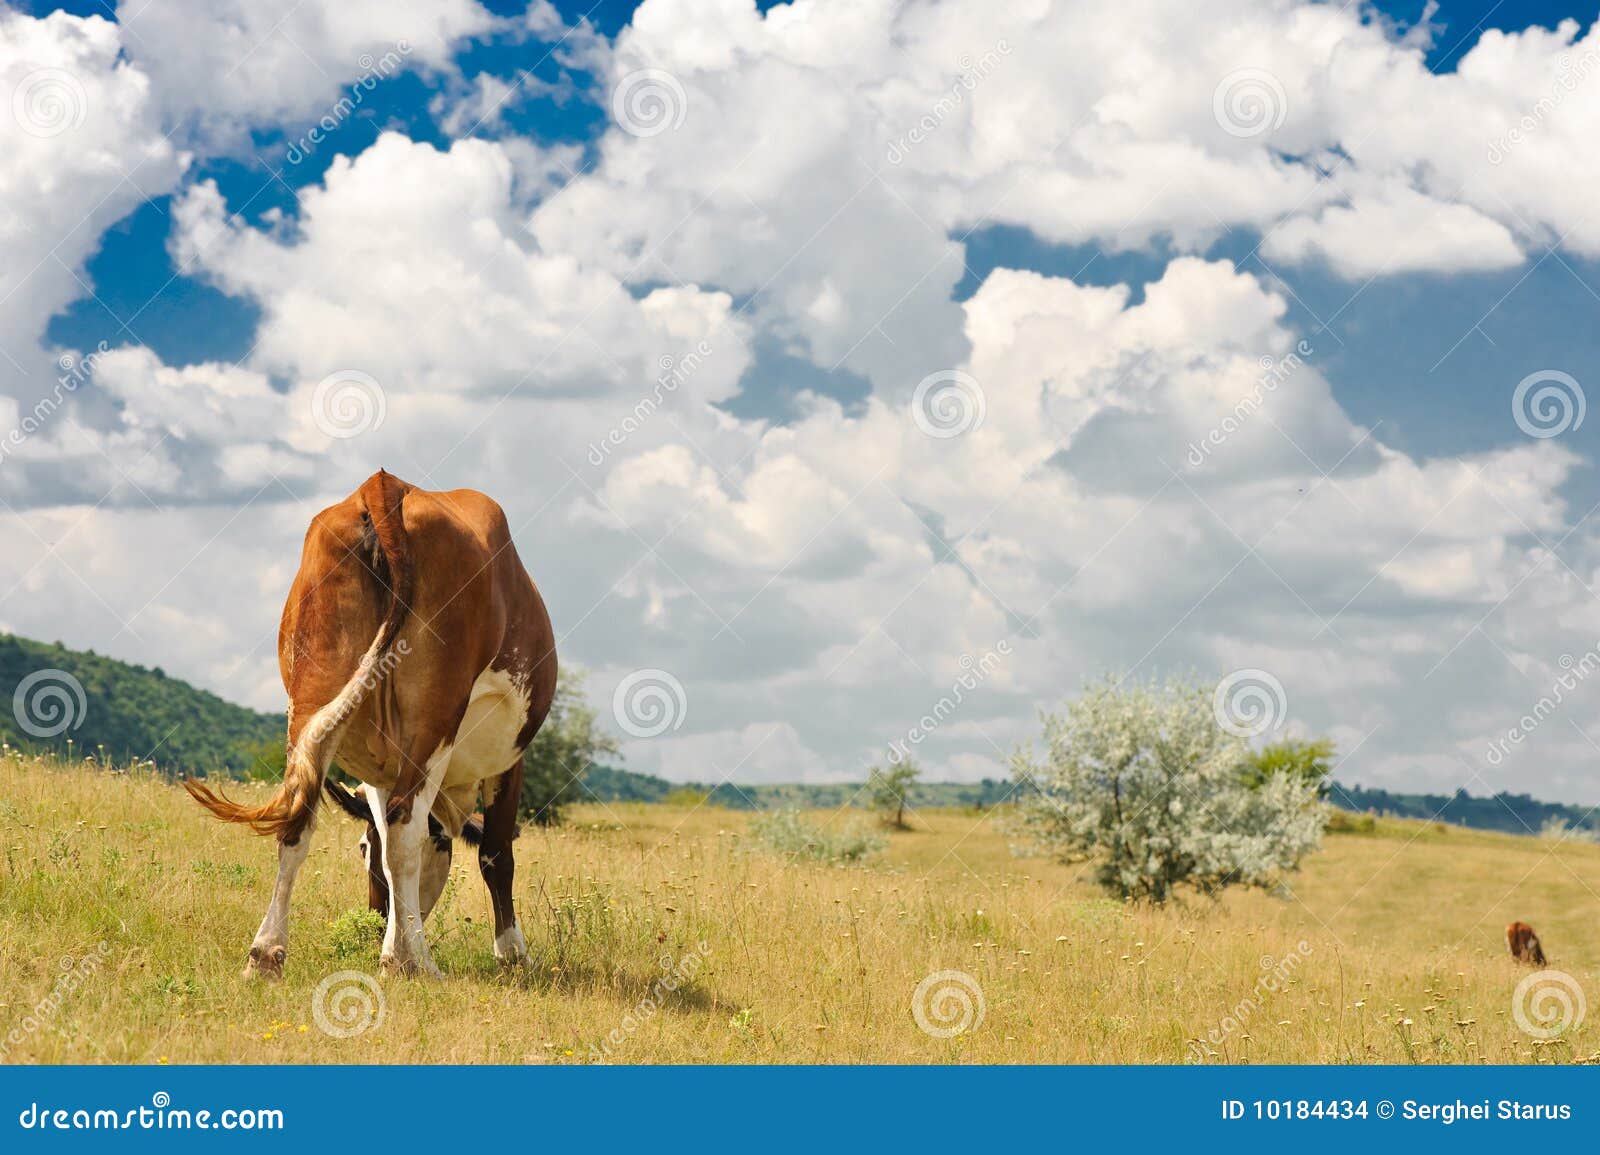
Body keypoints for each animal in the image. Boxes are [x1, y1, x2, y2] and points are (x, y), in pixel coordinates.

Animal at [185, 469, 557, 978]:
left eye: (361, 850)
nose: (373, 917)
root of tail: (384, 485)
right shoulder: (507, 757)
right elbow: (496, 852)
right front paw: (511, 953)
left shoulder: (382, 766)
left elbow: (387, 843)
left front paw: (389, 945)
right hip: (434, 721)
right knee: (404, 827)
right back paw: (419, 963)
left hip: (310, 704)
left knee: (298, 822)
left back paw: (266, 953)